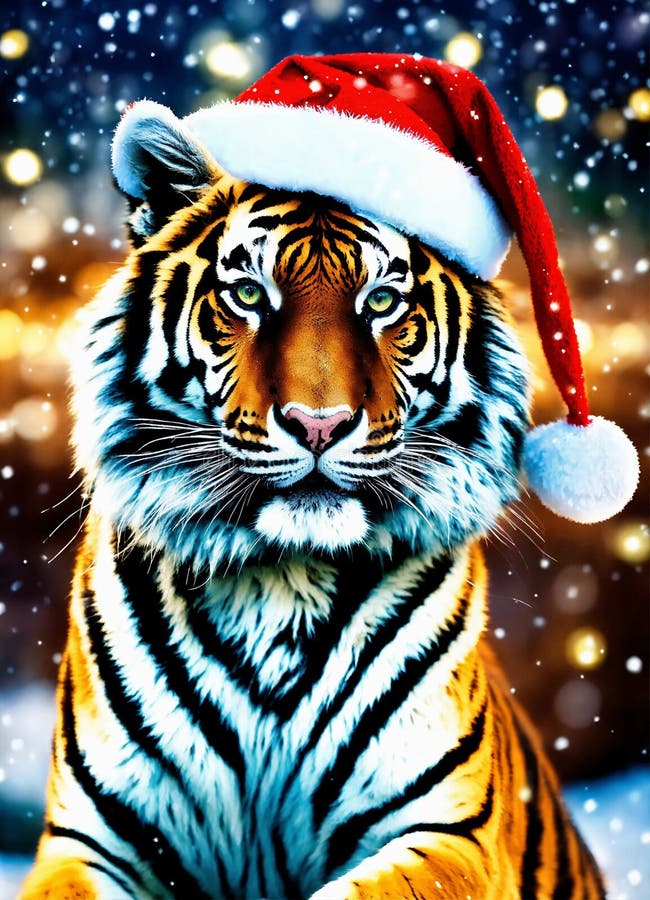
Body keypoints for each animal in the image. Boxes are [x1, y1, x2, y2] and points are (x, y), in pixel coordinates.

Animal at [22, 79, 606, 900]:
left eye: (384, 303)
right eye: (246, 293)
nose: (318, 423)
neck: (282, 581)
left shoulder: (451, 829)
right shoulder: (87, 839)